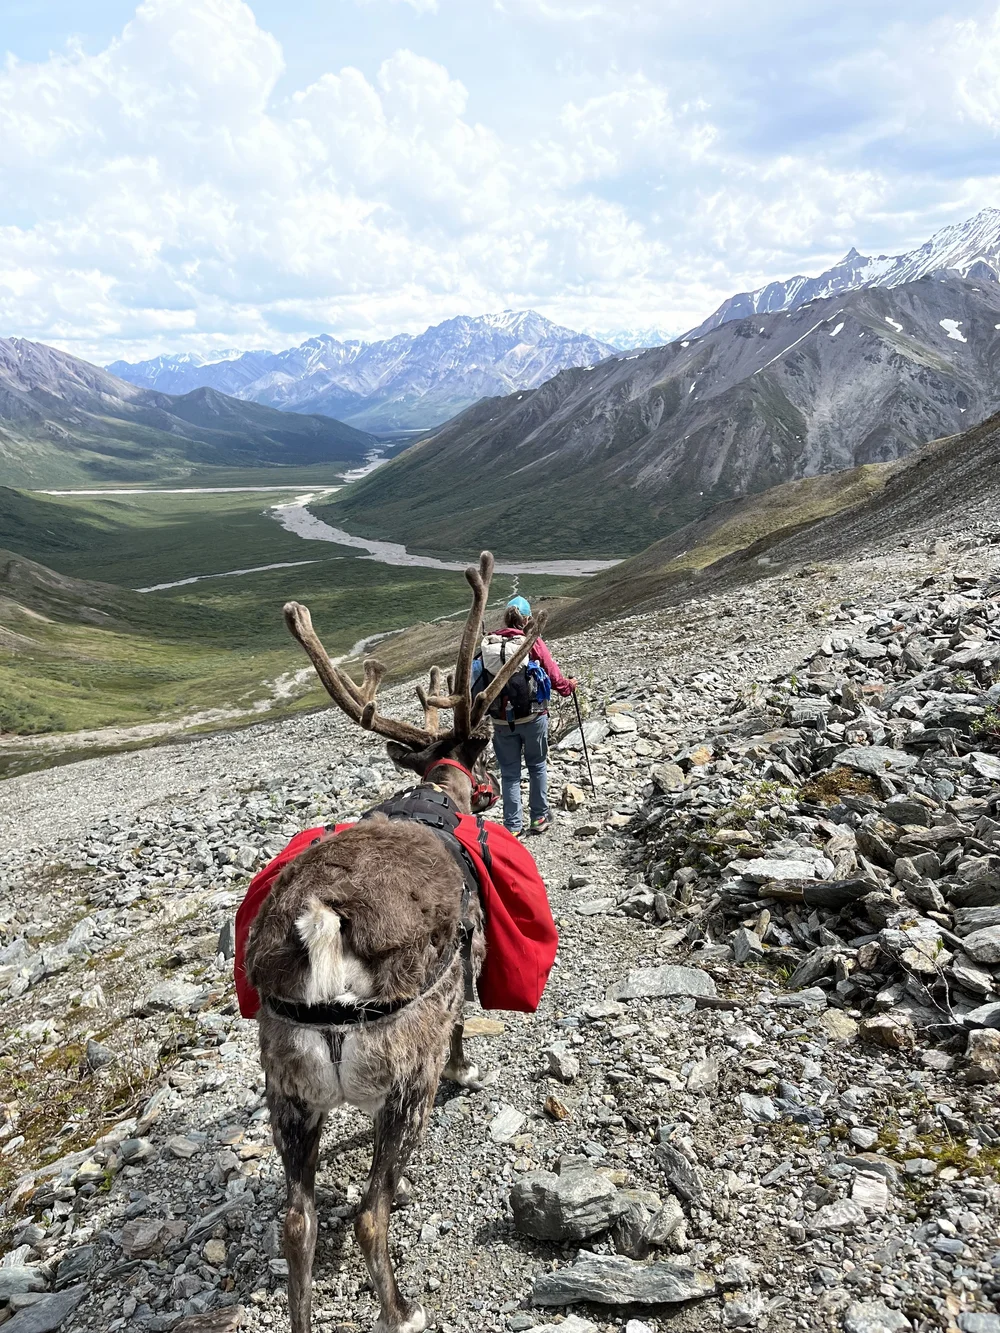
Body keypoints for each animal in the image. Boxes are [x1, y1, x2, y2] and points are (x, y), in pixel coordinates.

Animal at [243, 551, 546, 1333]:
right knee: (367, 1216)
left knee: (297, 1221)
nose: (491, 790)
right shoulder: (457, 982)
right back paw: (400, 1308)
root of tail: (322, 918)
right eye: (481, 754)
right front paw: (470, 1071)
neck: (437, 793)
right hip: (405, 1074)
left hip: (287, 1090)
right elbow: (466, 1025)